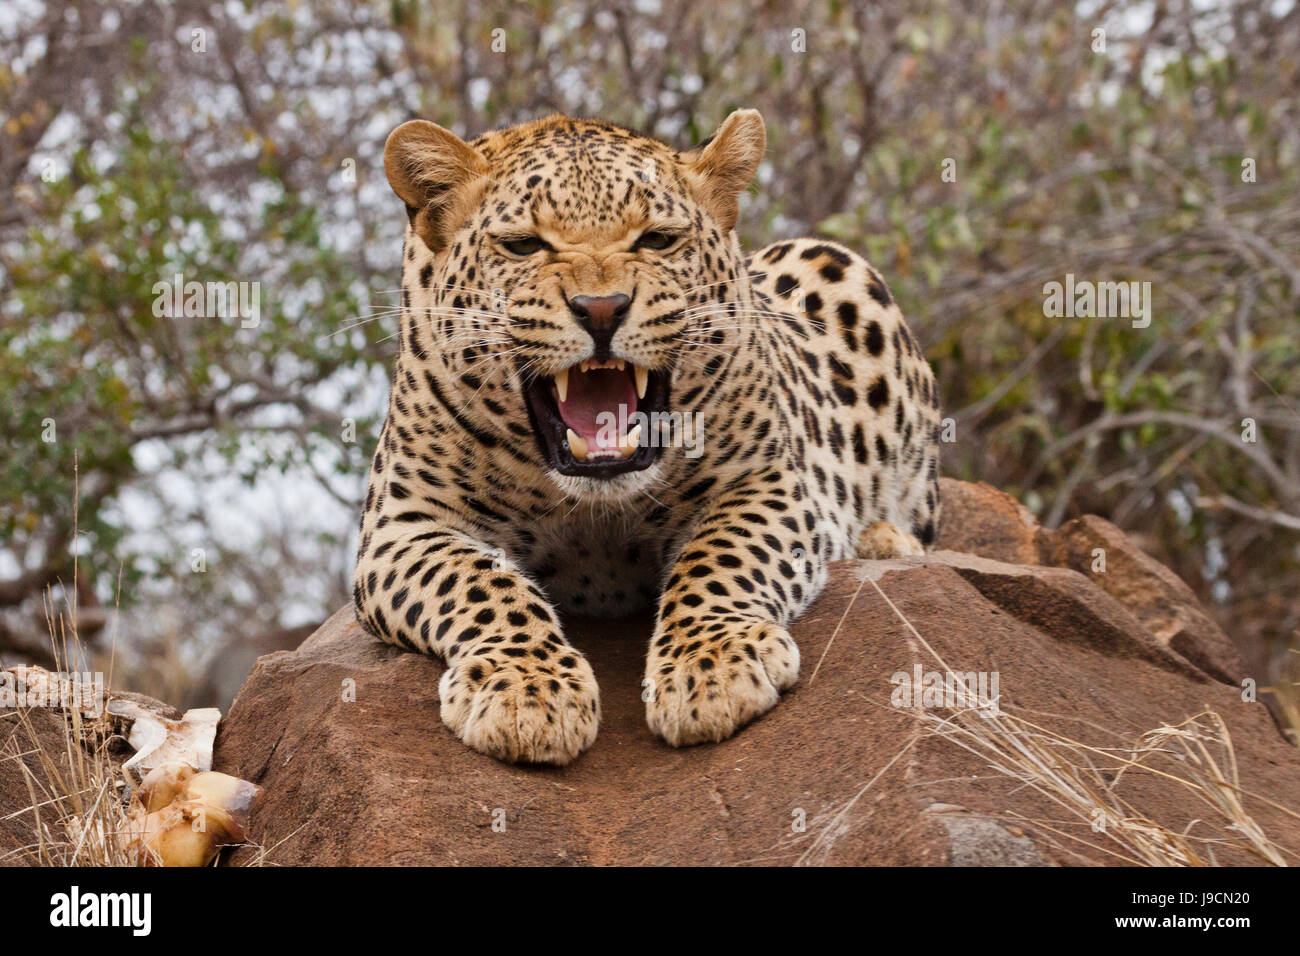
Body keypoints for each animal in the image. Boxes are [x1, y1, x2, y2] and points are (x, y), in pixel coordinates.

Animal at [353, 109, 941, 765]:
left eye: (657, 240)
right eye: (524, 245)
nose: (601, 309)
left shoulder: (764, 481)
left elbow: (721, 556)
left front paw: (712, 667)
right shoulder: (403, 525)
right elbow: (479, 583)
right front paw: (527, 689)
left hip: (836, 267)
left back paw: (885, 540)